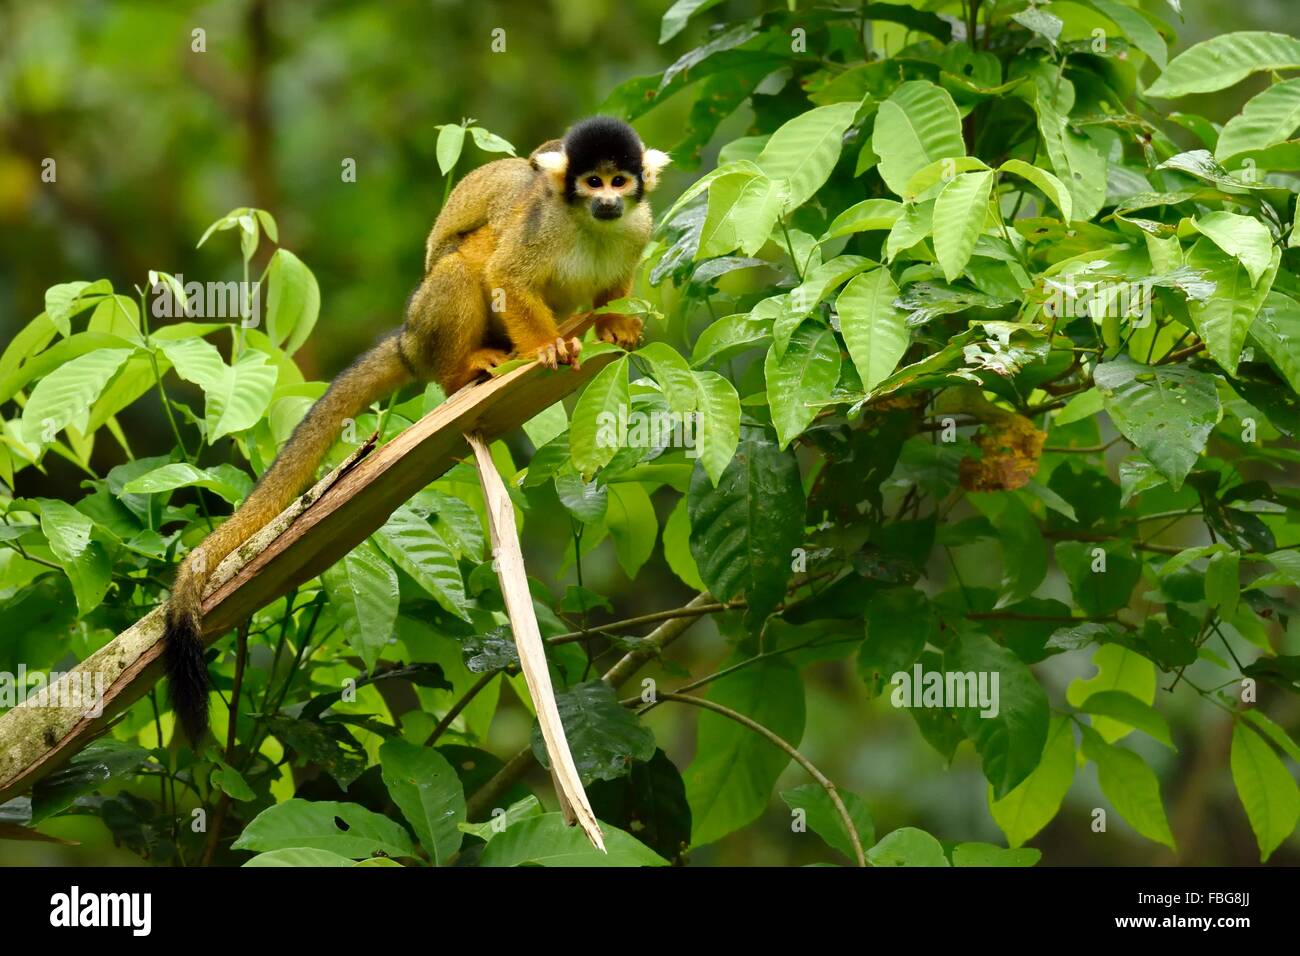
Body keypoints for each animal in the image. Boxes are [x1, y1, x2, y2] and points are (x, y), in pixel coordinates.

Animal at [162, 116, 670, 742]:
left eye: (620, 181)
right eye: (593, 181)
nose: (606, 201)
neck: (590, 226)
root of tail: (410, 340)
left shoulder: (636, 229)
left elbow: (613, 281)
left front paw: (615, 321)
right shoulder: (541, 222)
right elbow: (505, 275)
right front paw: (547, 348)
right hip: (431, 323)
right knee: (464, 266)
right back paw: (466, 368)